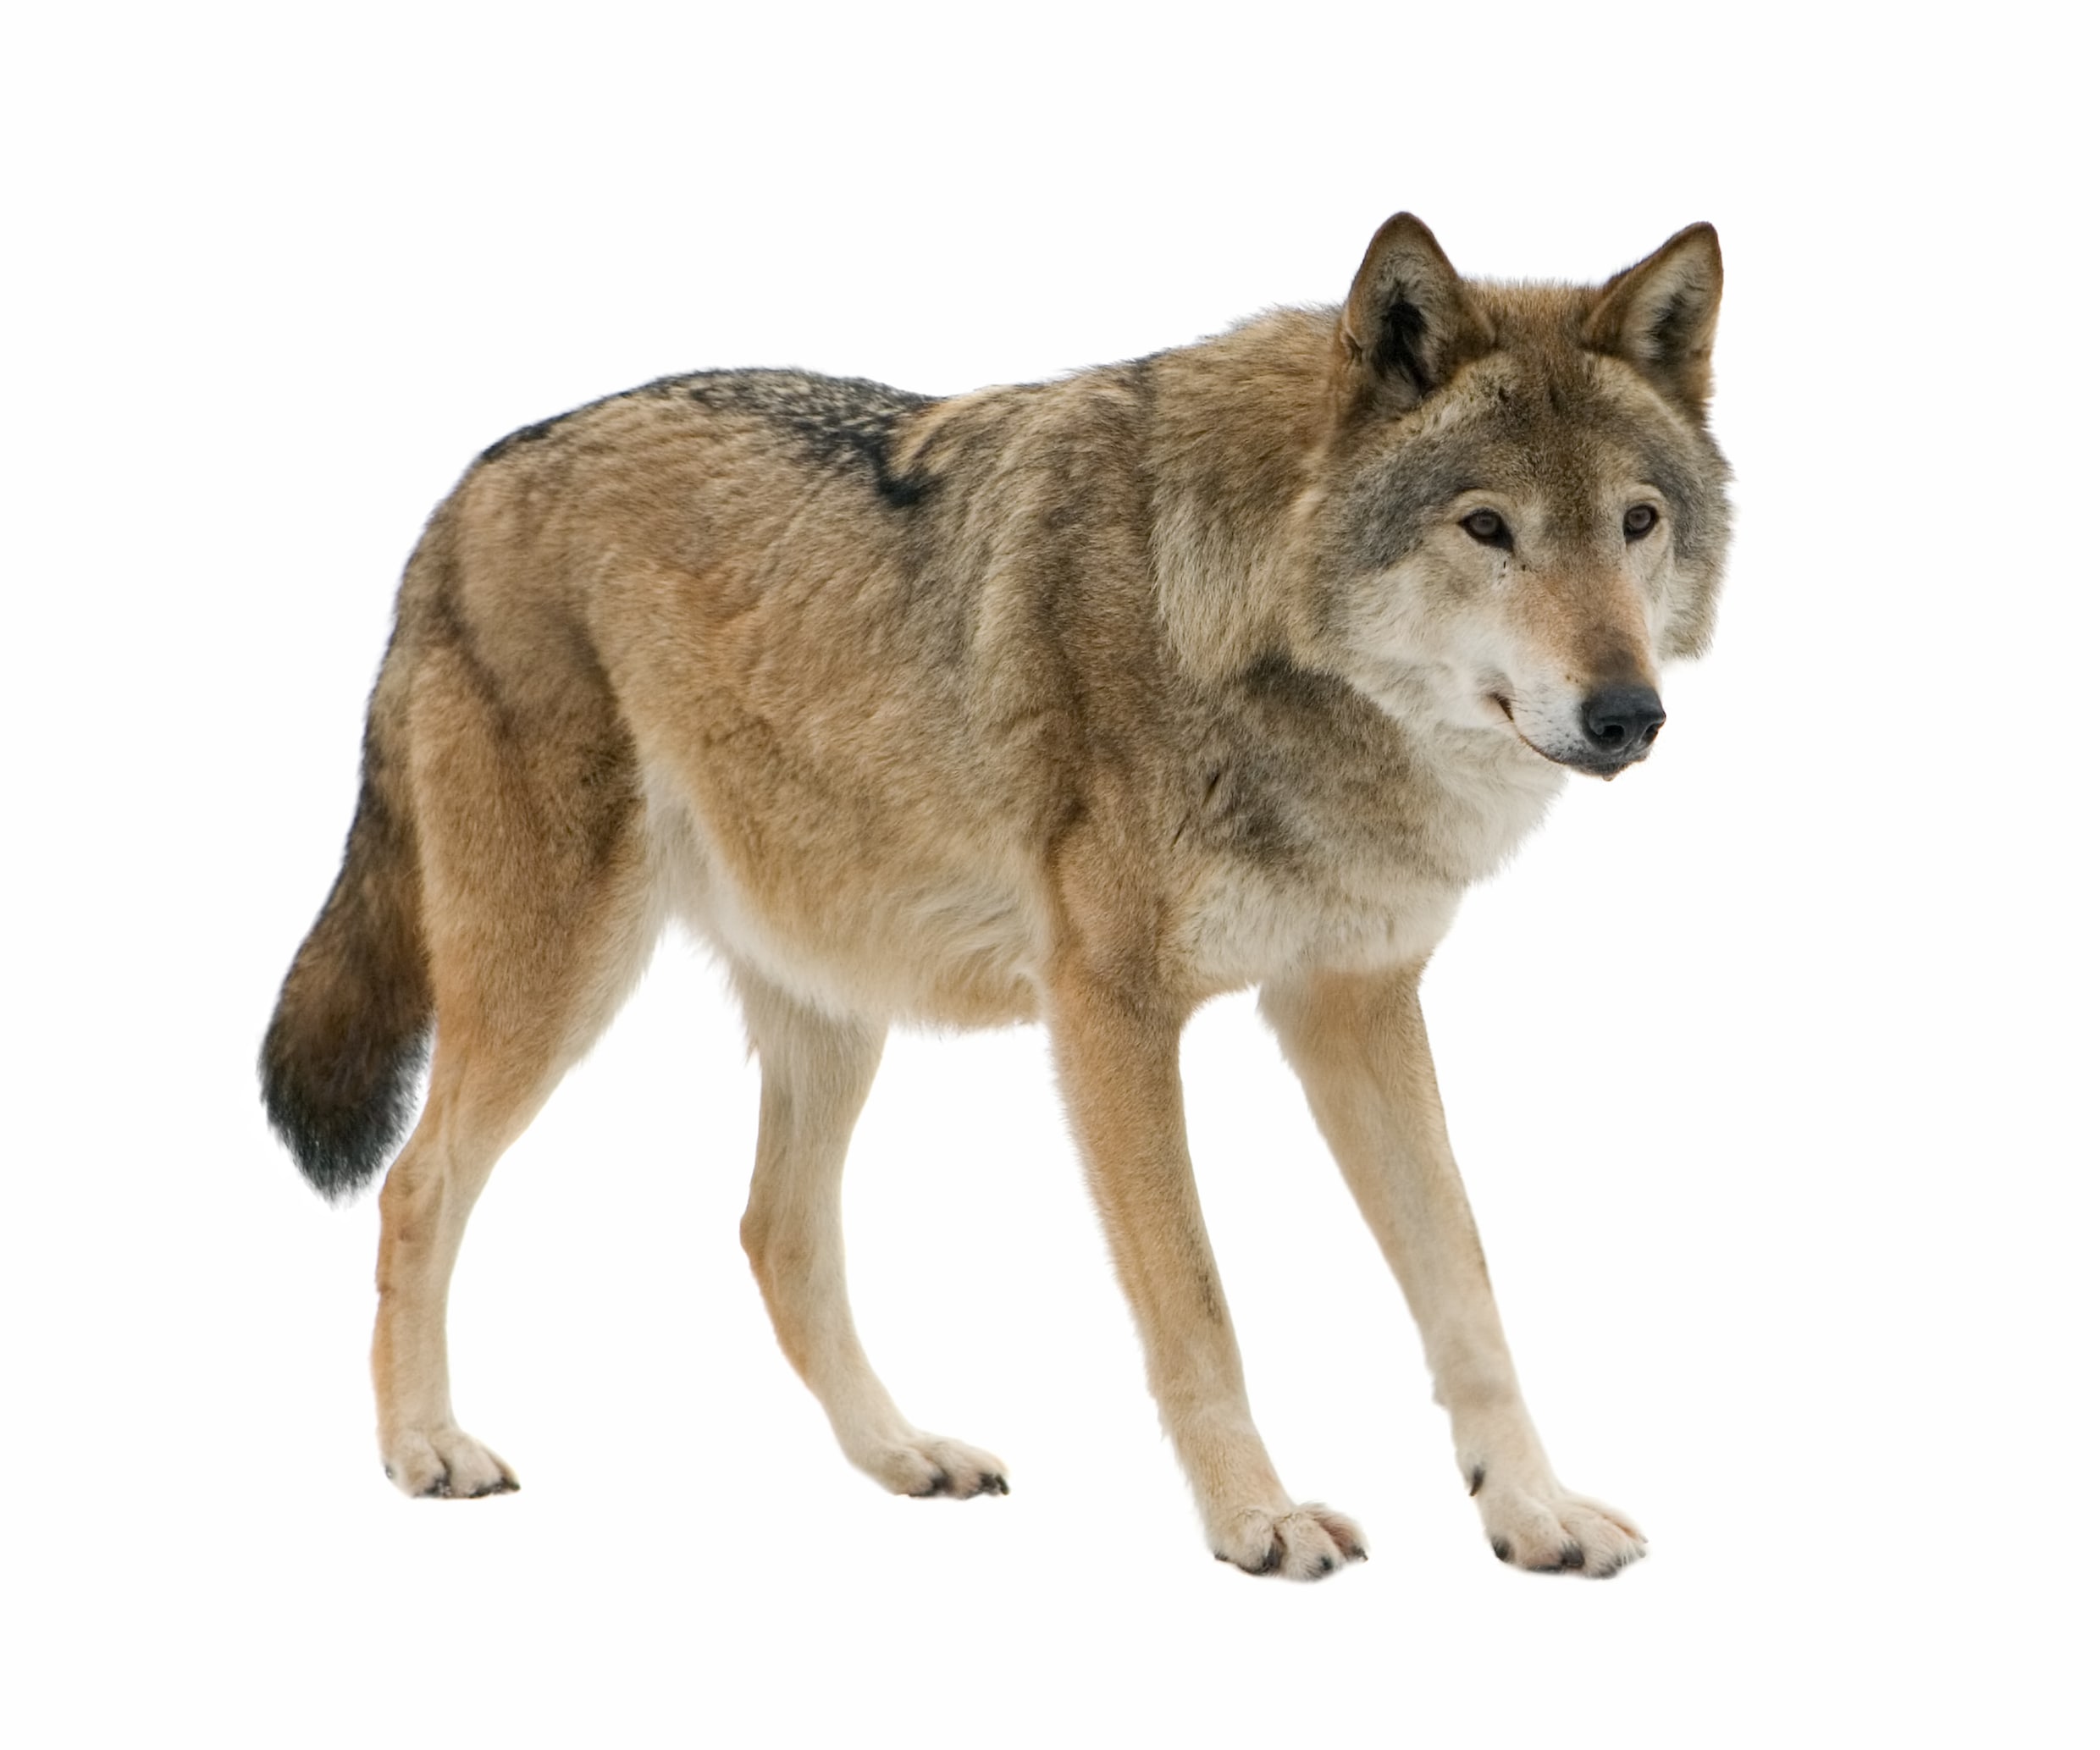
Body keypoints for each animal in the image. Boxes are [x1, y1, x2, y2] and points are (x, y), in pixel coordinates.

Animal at [262, 213, 1730, 1580]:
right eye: (1486, 527)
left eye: (1635, 523)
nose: (1627, 713)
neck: (1256, 632)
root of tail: (465, 488)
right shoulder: (1112, 1012)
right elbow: (1197, 1300)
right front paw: (1257, 1518)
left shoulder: (1353, 1003)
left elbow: (1467, 1288)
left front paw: (1533, 1509)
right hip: (558, 979)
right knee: (417, 1182)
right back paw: (424, 1445)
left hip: (832, 1004)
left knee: (775, 1233)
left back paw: (905, 1451)